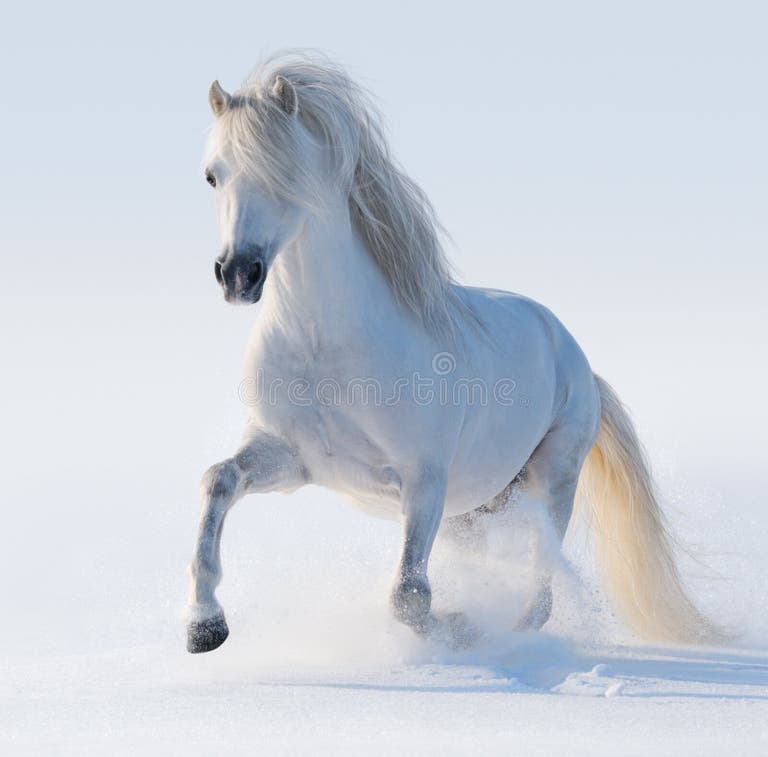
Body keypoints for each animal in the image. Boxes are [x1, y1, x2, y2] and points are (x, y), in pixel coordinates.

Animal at [186, 51, 720, 653]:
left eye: (286, 171)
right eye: (213, 175)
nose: (238, 273)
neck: (327, 350)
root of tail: (577, 359)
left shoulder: (424, 481)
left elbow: (409, 597)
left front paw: (460, 629)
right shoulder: (291, 459)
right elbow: (217, 480)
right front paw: (204, 626)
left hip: (550, 482)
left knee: (540, 591)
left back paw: (509, 635)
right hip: (472, 511)